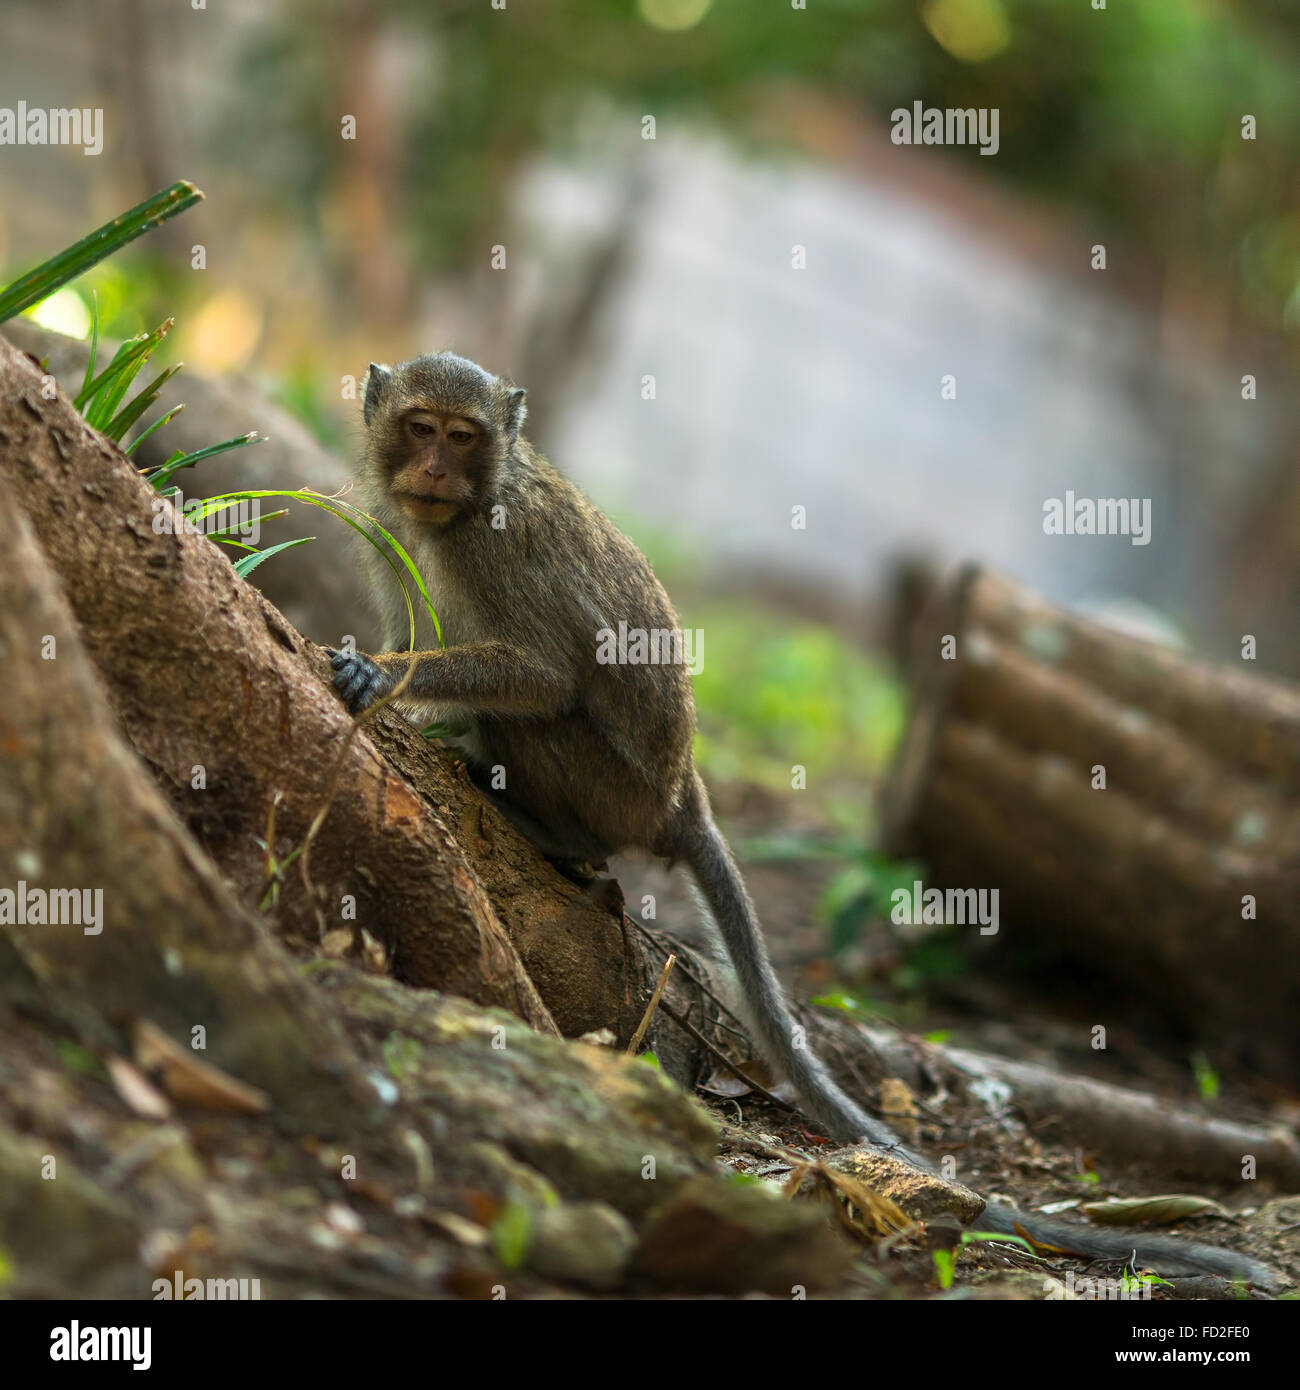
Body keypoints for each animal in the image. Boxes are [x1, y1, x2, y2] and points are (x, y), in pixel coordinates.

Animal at [327, 353, 1283, 1292]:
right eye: (420, 427)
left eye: (463, 437)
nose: (435, 469)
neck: (463, 510)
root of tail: (682, 795)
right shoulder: (388, 522)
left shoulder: (499, 546)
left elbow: (545, 674)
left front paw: (384, 676)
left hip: (613, 788)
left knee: (546, 726)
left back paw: (559, 833)